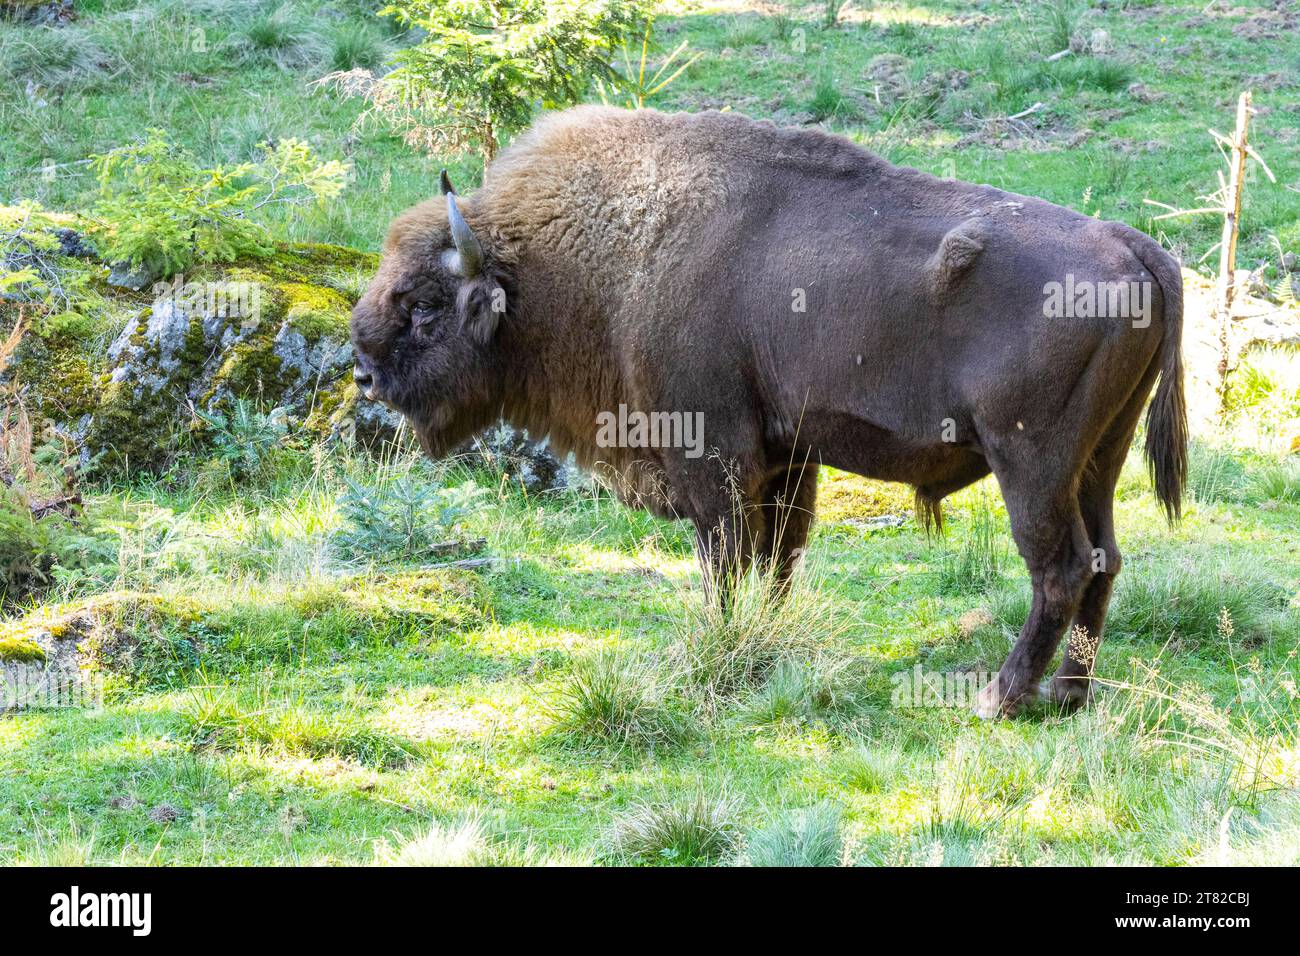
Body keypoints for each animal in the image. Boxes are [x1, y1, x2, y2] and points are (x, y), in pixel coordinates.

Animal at [351, 106, 1186, 718]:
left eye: (425, 304)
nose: (362, 371)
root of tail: (1133, 244)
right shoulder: (788, 456)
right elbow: (778, 556)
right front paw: (768, 640)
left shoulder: (712, 458)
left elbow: (728, 559)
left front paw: (722, 645)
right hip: (1098, 460)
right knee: (1105, 558)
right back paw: (1068, 695)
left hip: (1031, 463)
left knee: (1060, 566)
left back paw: (997, 699)